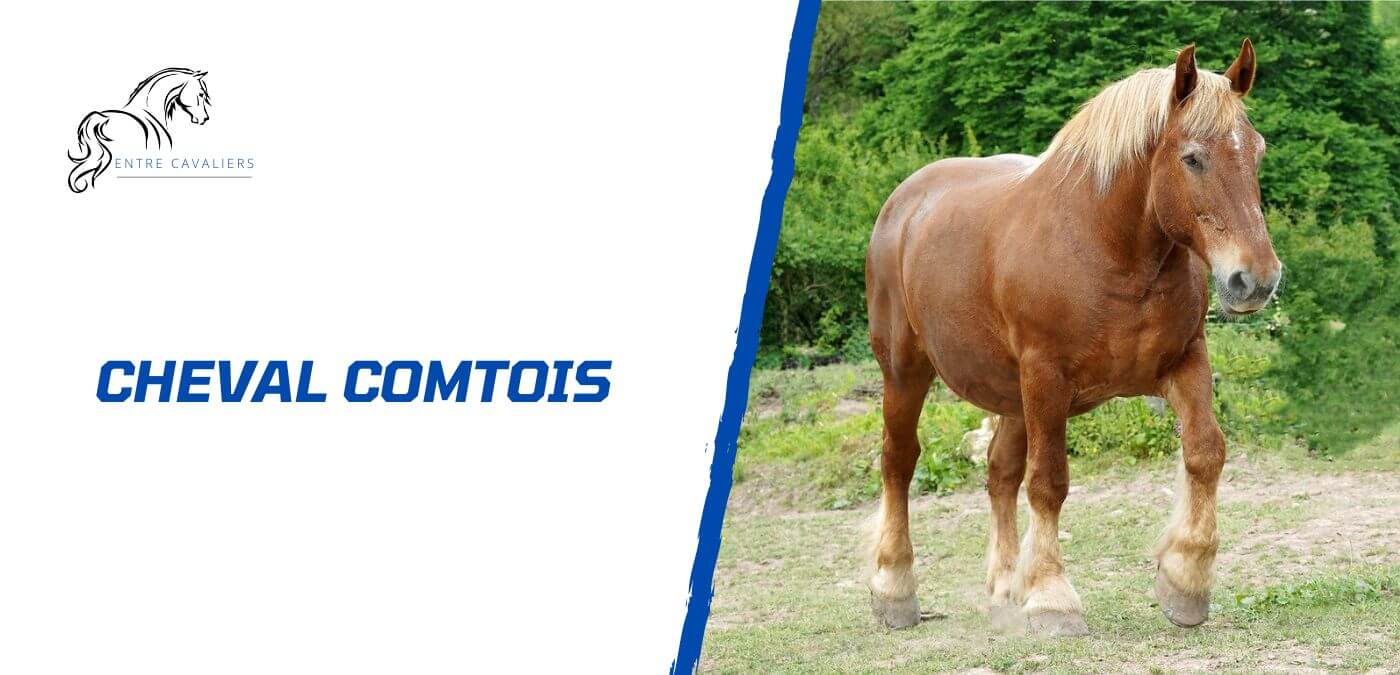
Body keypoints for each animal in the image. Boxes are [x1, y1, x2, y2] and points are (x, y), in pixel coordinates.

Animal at [863, 40, 1277, 636]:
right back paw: (895, 587)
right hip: (905, 372)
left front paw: (1186, 579)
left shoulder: (1185, 363)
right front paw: (1053, 598)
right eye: (1193, 157)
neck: (1108, 249)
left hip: (1011, 395)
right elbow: (1049, 482)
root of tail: (904, 203)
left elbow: (1205, 452)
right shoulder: (1045, 377)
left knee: (999, 472)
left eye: (1258, 152)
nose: (1256, 280)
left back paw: (1005, 587)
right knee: (899, 462)